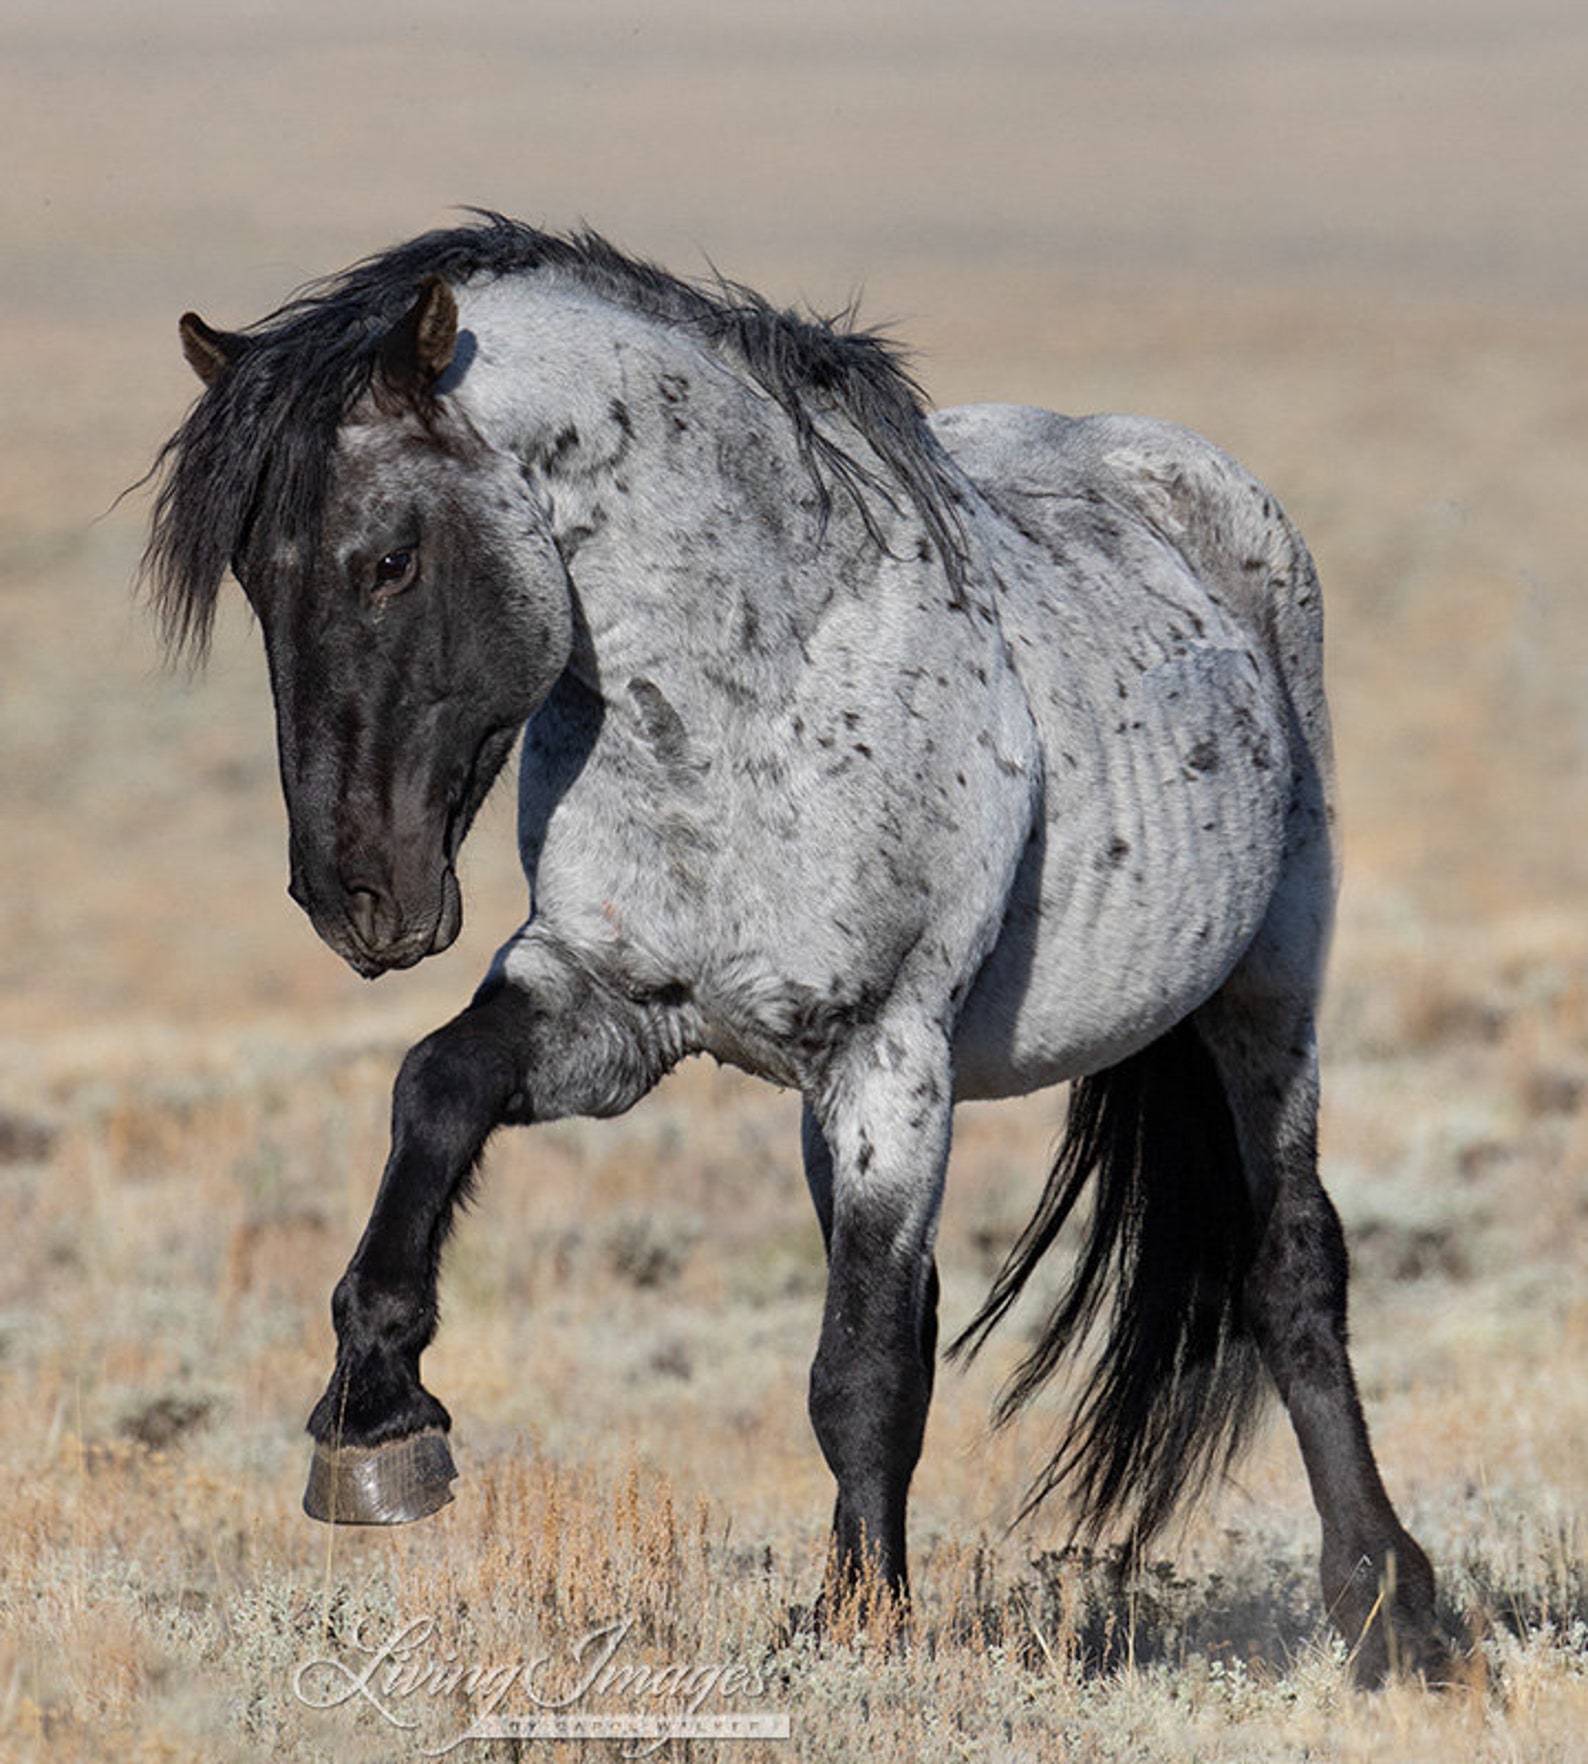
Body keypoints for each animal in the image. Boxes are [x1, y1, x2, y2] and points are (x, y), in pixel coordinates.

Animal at [142, 214, 1445, 1683]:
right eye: (255, 580)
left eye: (388, 561)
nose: (354, 898)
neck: (739, 698)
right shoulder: (610, 1006)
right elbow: (438, 1086)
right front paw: (376, 1413)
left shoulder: (891, 1060)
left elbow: (858, 1372)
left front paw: (860, 1627)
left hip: (1264, 992)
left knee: (1293, 1267)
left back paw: (1391, 1607)